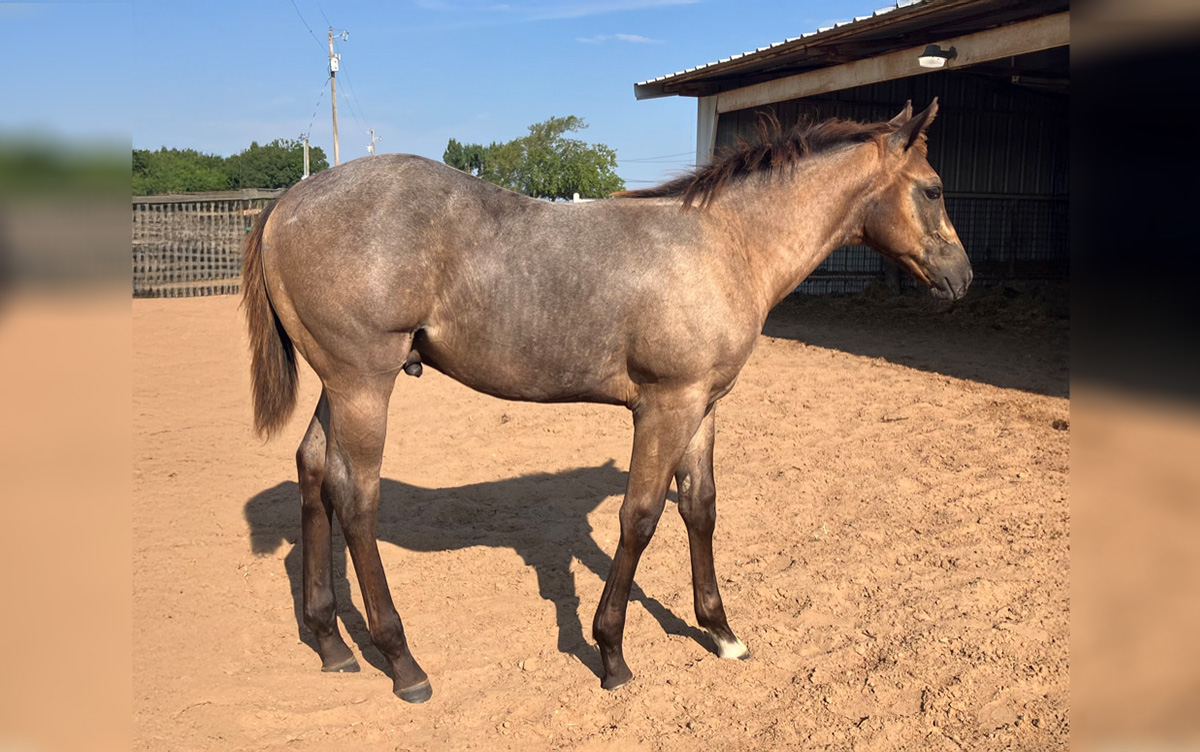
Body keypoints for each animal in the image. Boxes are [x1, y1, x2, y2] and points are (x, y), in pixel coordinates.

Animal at [241, 99, 971, 703]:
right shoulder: (665, 405)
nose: (963, 277)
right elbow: (640, 517)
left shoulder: (704, 406)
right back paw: (403, 663)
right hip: (365, 382)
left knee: (313, 471)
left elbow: (701, 509)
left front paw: (721, 633)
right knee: (356, 499)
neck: (725, 243)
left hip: (339, 383)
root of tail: (288, 201)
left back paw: (331, 642)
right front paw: (612, 653)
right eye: (933, 188)